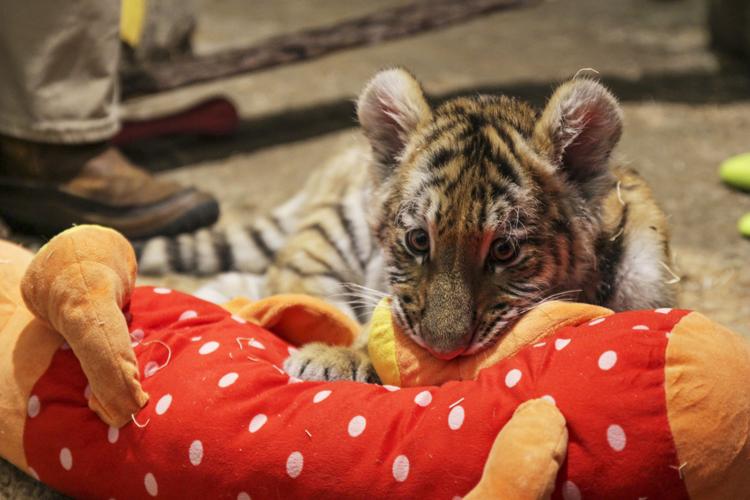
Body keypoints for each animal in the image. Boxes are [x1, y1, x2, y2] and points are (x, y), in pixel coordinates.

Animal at [136, 68, 677, 383]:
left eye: (503, 250)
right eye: (418, 240)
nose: (442, 348)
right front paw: (338, 359)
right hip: (327, 236)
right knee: (293, 287)